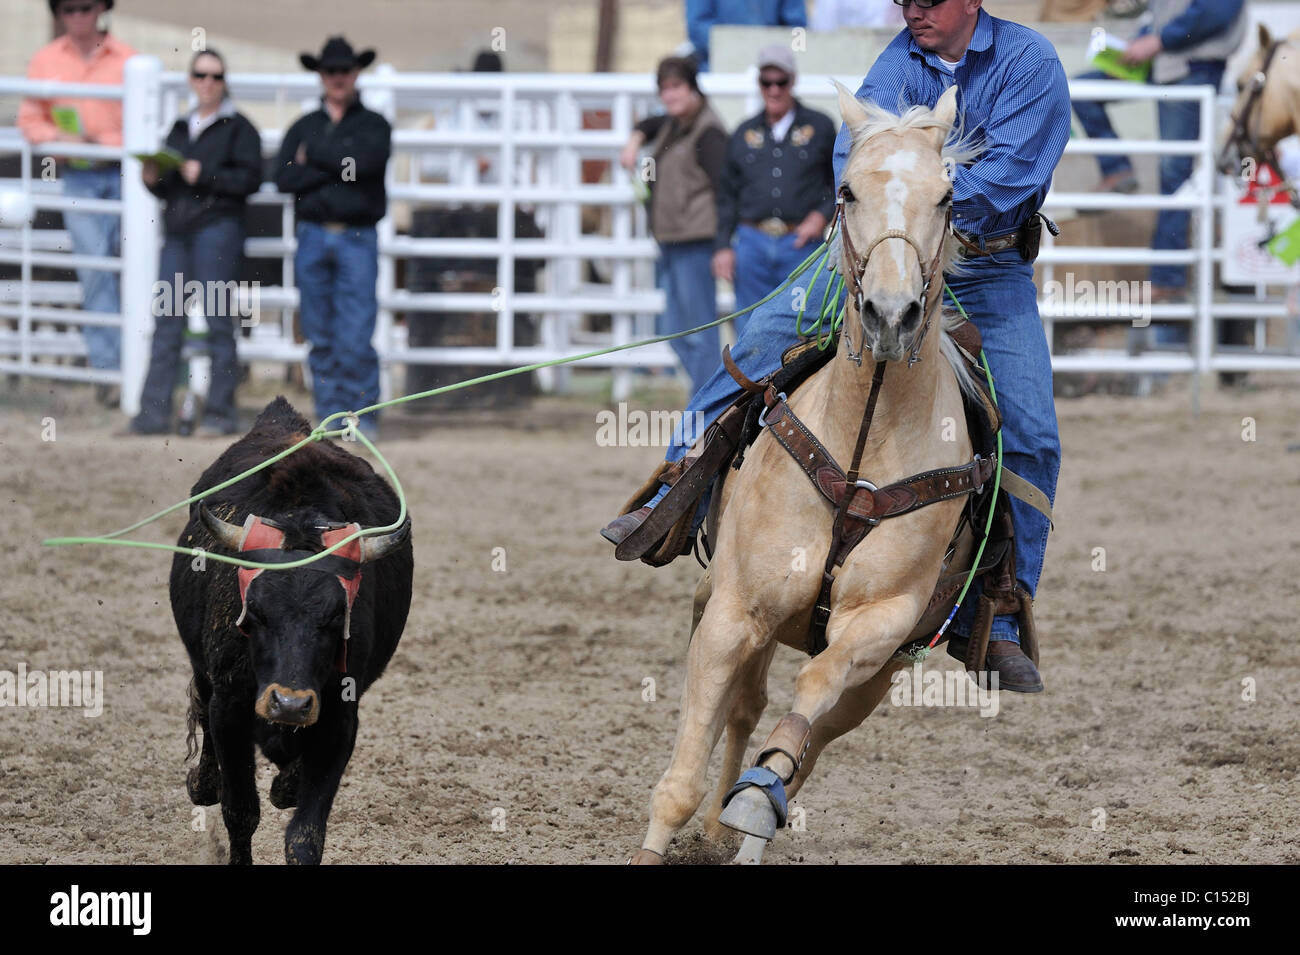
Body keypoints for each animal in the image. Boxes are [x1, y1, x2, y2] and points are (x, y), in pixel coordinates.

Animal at [171, 397, 413, 864]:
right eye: (256, 612)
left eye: (336, 616)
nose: (290, 704)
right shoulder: (230, 707)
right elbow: (240, 811)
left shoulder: (340, 717)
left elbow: (305, 835)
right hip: (204, 670)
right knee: (203, 710)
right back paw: (203, 782)